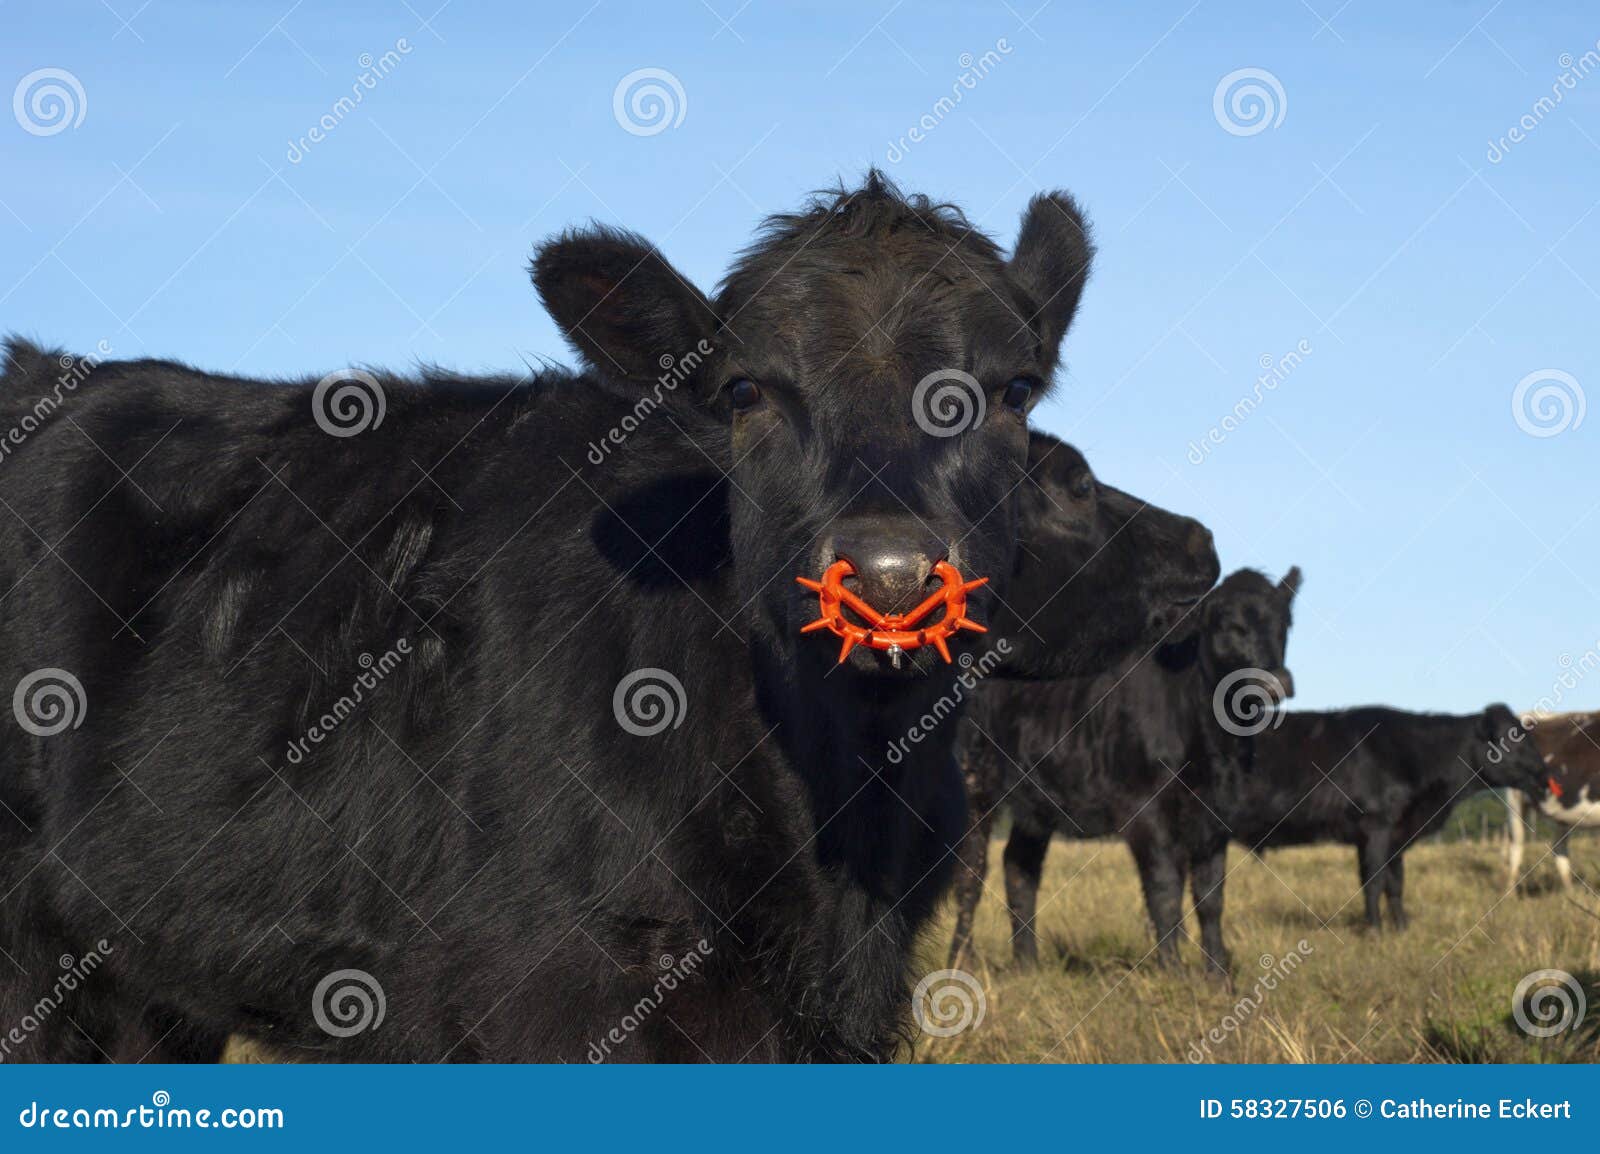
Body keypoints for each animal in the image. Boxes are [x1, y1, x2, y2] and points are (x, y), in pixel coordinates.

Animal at [949, 567, 1298, 978]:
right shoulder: (1145, 807)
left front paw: (1217, 976)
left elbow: (1210, 896)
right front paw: (1173, 972)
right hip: (976, 786)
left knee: (1020, 867)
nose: (1278, 682)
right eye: (1230, 624)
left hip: (1035, 799)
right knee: (971, 874)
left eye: (1284, 622)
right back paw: (961, 961)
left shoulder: (1216, 813)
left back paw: (1028, 964)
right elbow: (1164, 889)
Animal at [1234, 705, 1550, 930]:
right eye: (1513, 740)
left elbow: (1395, 883)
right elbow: (1373, 882)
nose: (1544, 776)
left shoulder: (1397, 834)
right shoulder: (1377, 826)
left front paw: (1401, 928)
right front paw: (1374, 931)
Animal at [1505, 711, 1600, 893]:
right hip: (1515, 800)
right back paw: (1510, 894)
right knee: (1516, 847)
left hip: (1560, 812)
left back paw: (1570, 892)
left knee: (1559, 849)